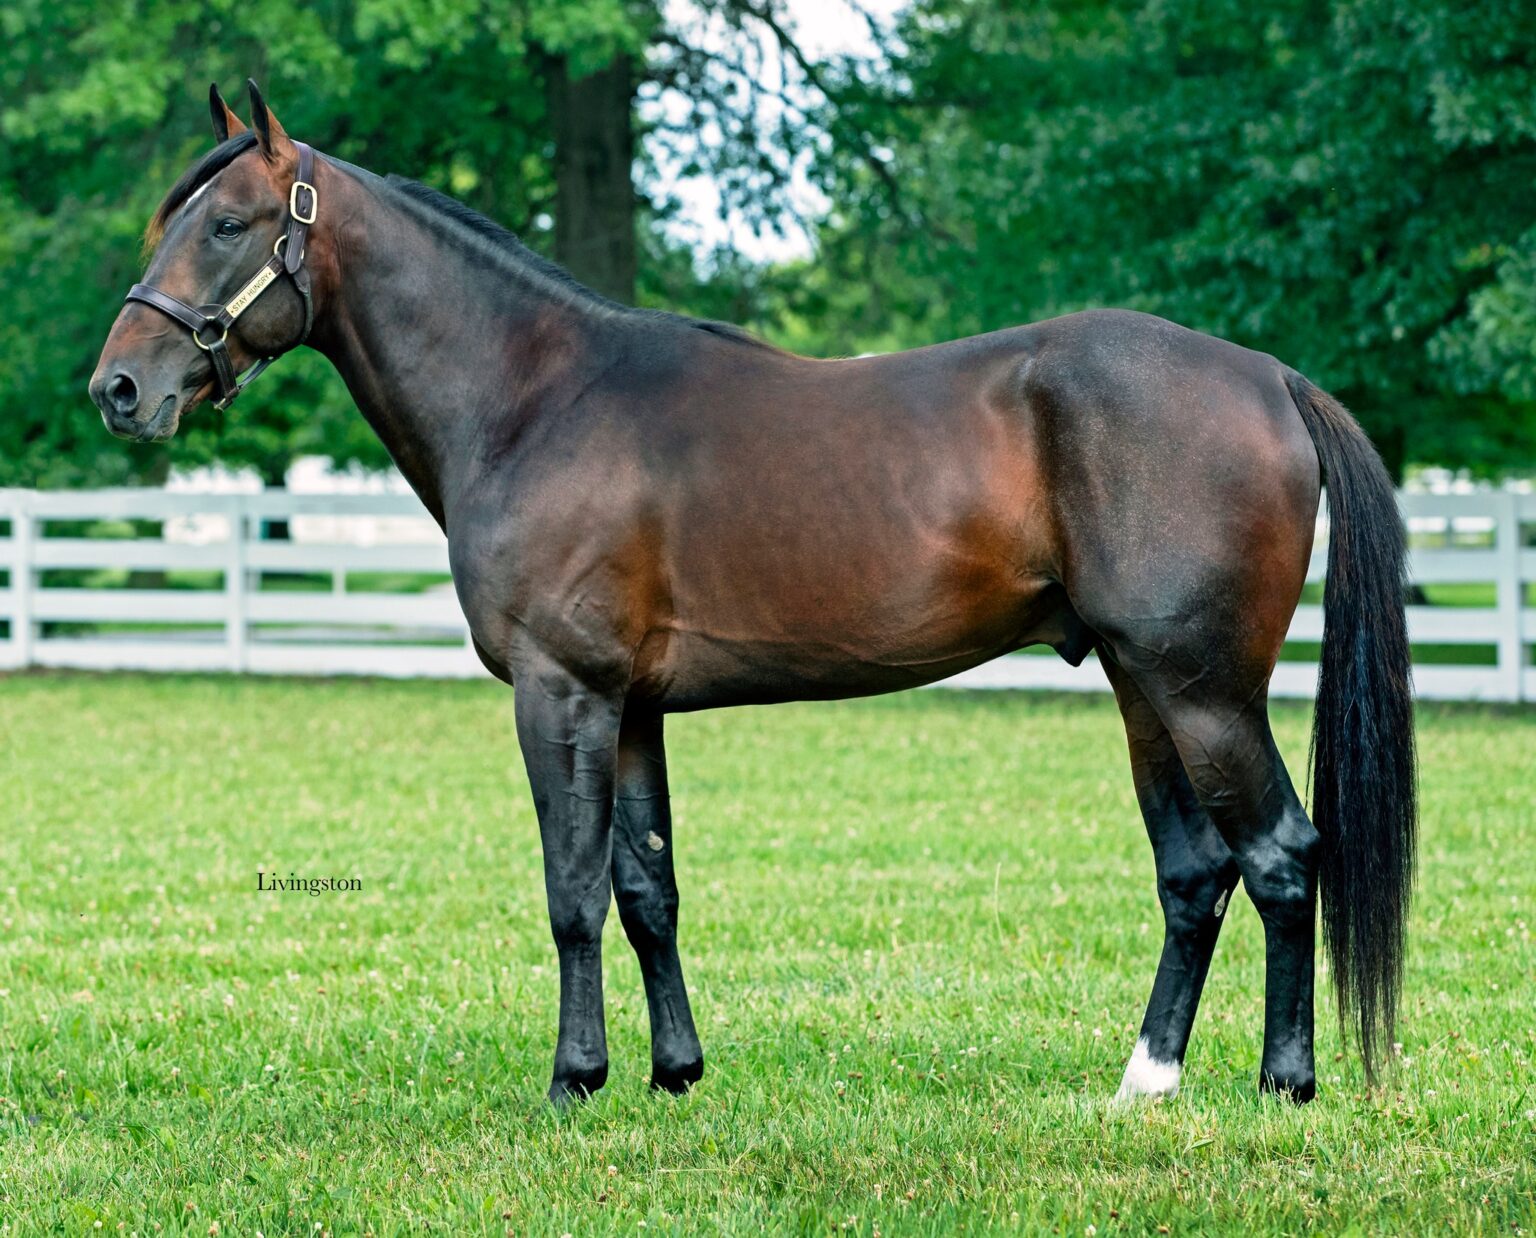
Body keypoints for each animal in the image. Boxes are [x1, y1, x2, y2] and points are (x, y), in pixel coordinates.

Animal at [91, 81, 1415, 1106]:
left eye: (228, 222)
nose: (118, 389)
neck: (535, 397)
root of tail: (1268, 376)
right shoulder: (629, 705)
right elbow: (646, 889)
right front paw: (675, 1071)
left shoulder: (560, 691)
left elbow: (572, 891)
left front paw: (575, 1080)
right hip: (1145, 689)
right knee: (1195, 873)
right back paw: (1147, 1081)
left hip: (1203, 691)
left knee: (1281, 854)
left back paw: (1284, 1082)